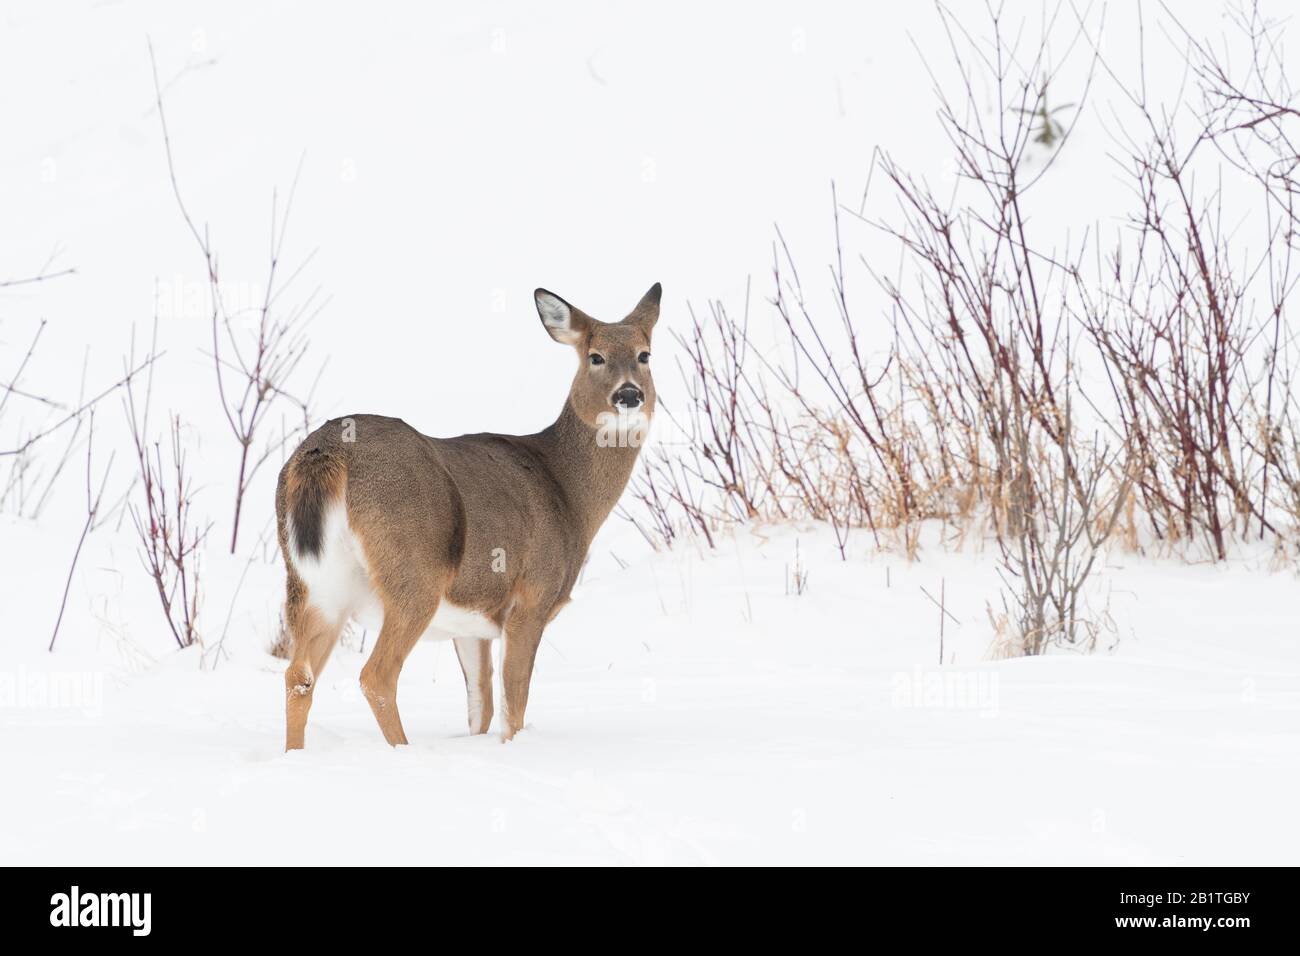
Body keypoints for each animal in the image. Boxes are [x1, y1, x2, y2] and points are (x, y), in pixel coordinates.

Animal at [275, 283, 660, 750]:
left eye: (645, 354)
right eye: (596, 356)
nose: (629, 395)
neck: (567, 491)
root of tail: (327, 451)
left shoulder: (472, 626)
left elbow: (481, 707)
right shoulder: (531, 595)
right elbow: (514, 706)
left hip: (313, 582)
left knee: (298, 676)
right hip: (413, 572)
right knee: (376, 676)